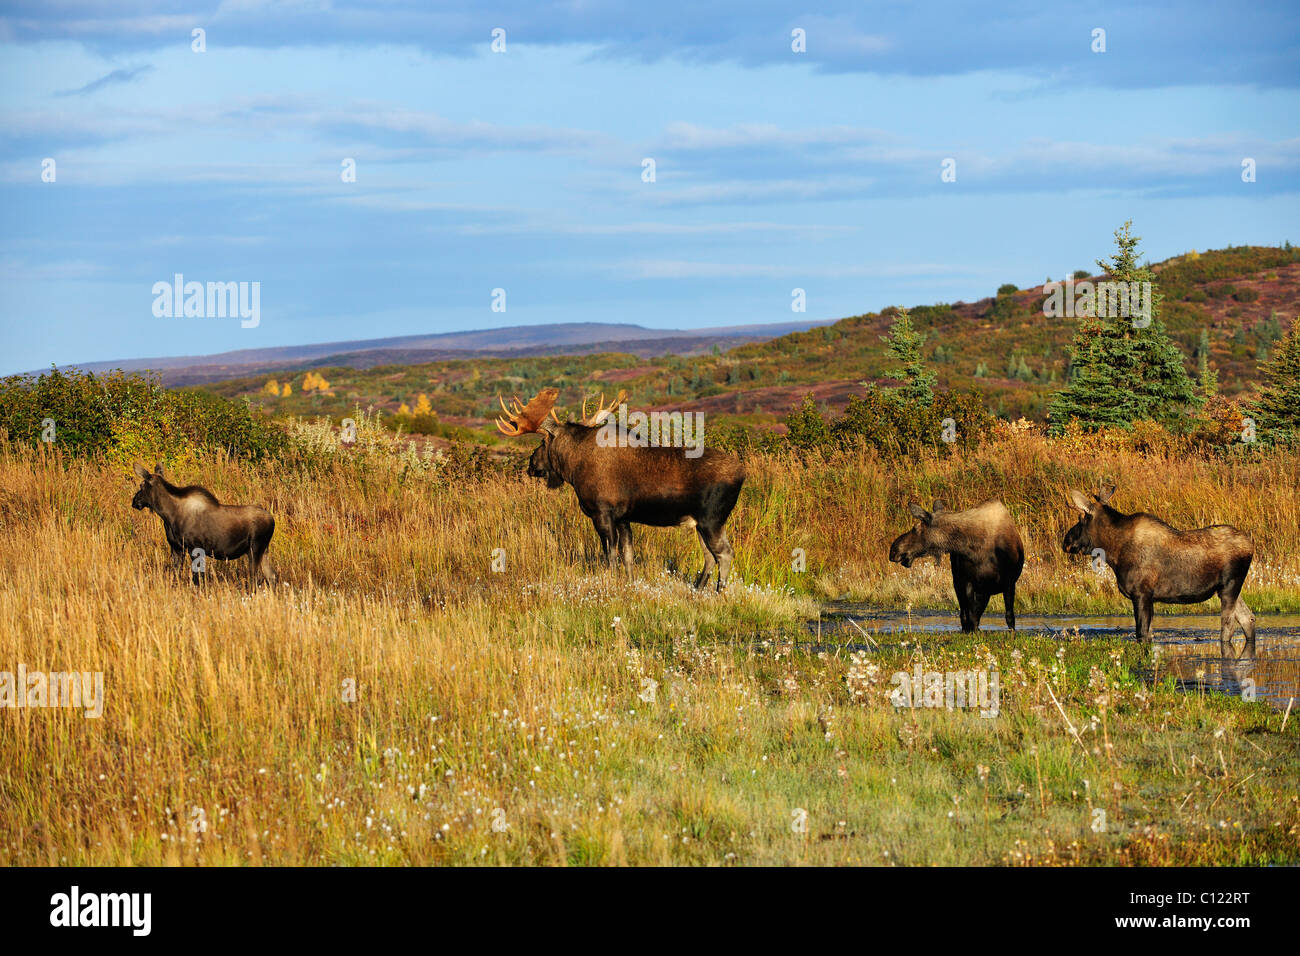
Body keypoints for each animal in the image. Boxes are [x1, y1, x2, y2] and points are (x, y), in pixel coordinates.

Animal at [131, 463, 275, 587]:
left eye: (141, 485)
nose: (134, 501)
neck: (168, 515)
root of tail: (272, 520)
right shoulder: (176, 548)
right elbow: (176, 575)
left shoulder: (195, 548)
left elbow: (197, 579)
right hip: (264, 550)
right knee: (272, 576)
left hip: (255, 549)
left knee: (255, 578)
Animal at [496, 388, 746, 590]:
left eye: (542, 442)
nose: (531, 465)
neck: (573, 467)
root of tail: (742, 474)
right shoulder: (623, 518)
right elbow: (628, 556)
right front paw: (629, 584)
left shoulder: (602, 513)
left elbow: (611, 556)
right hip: (700, 523)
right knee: (710, 556)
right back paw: (697, 589)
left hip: (711, 520)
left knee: (725, 553)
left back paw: (718, 593)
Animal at [888, 499, 1025, 632]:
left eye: (915, 528)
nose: (893, 550)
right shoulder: (968, 582)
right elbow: (970, 616)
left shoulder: (1008, 582)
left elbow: (1009, 618)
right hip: (959, 582)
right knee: (966, 614)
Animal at [1062, 485, 1255, 649]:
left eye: (1080, 519)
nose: (1066, 541)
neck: (1114, 552)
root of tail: (1251, 546)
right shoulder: (1149, 598)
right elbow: (1148, 635)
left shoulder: (1141, 593)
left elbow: (1141, 634)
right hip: (1227, 589)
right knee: (1248, 618)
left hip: (1230, 585)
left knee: (1228, 626)